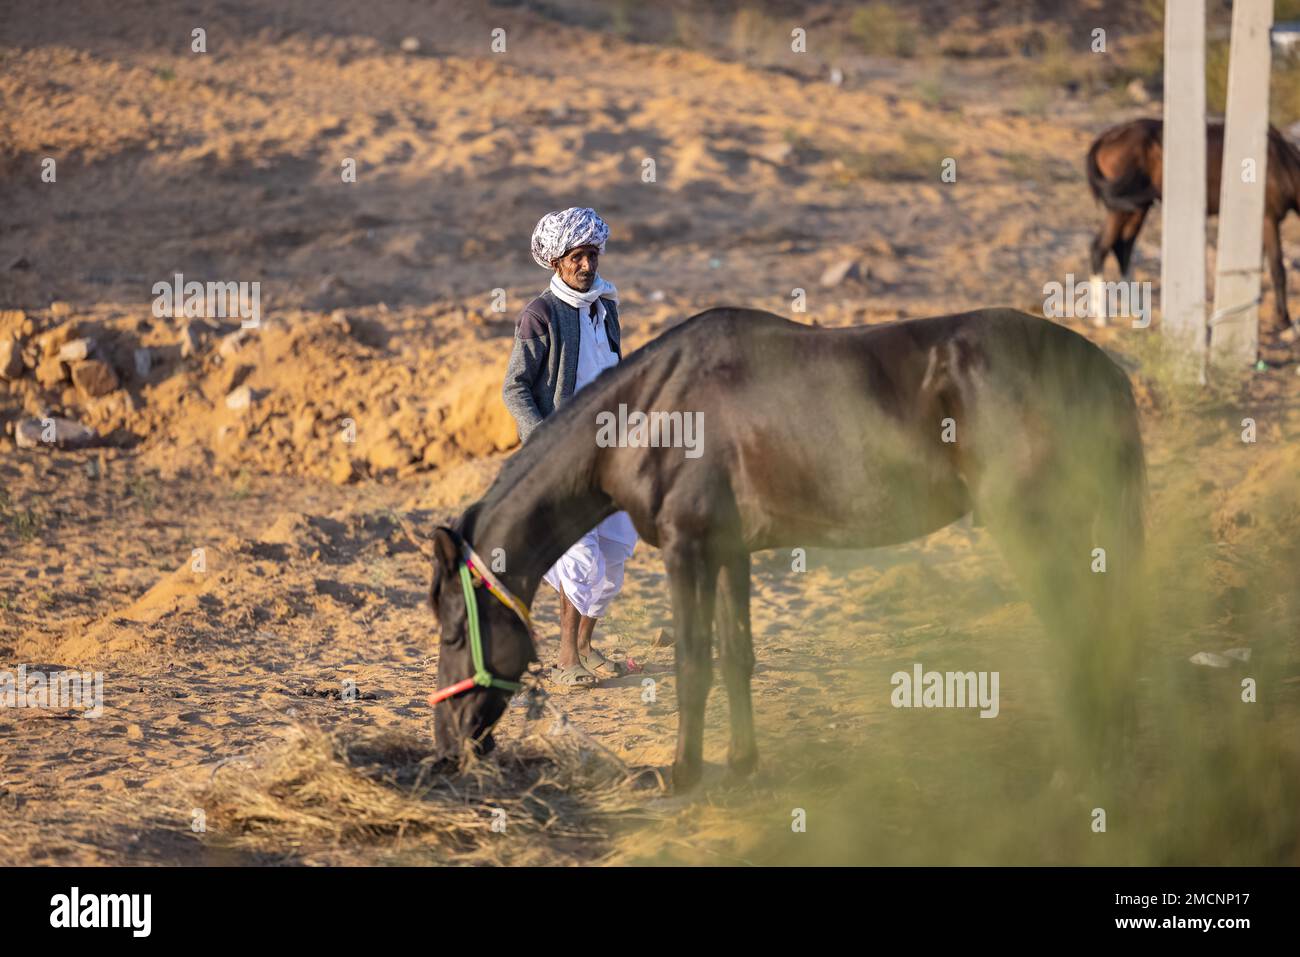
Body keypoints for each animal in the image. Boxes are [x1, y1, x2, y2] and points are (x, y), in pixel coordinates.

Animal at [427, 307, 1146, 791]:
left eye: (454, 631)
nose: (448, 743)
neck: (653, 406)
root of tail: (1101, 367)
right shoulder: (730, 549)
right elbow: (738, 656)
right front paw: (743, 765)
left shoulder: (687, 549)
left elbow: (694, 663)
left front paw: (682, 773)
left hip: (1035, 526)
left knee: (1080, 634)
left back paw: (1076, 771)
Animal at [1085, 117, 1300, 332]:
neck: (1281, 161)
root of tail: (1106, 138)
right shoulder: (1269, 219)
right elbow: (1277, 269)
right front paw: (1283, 321)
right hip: (1121, 209)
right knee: (1100, 248)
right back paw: (1101, 319)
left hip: (1137, 208)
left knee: (1123, 247)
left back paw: (1136, 313)